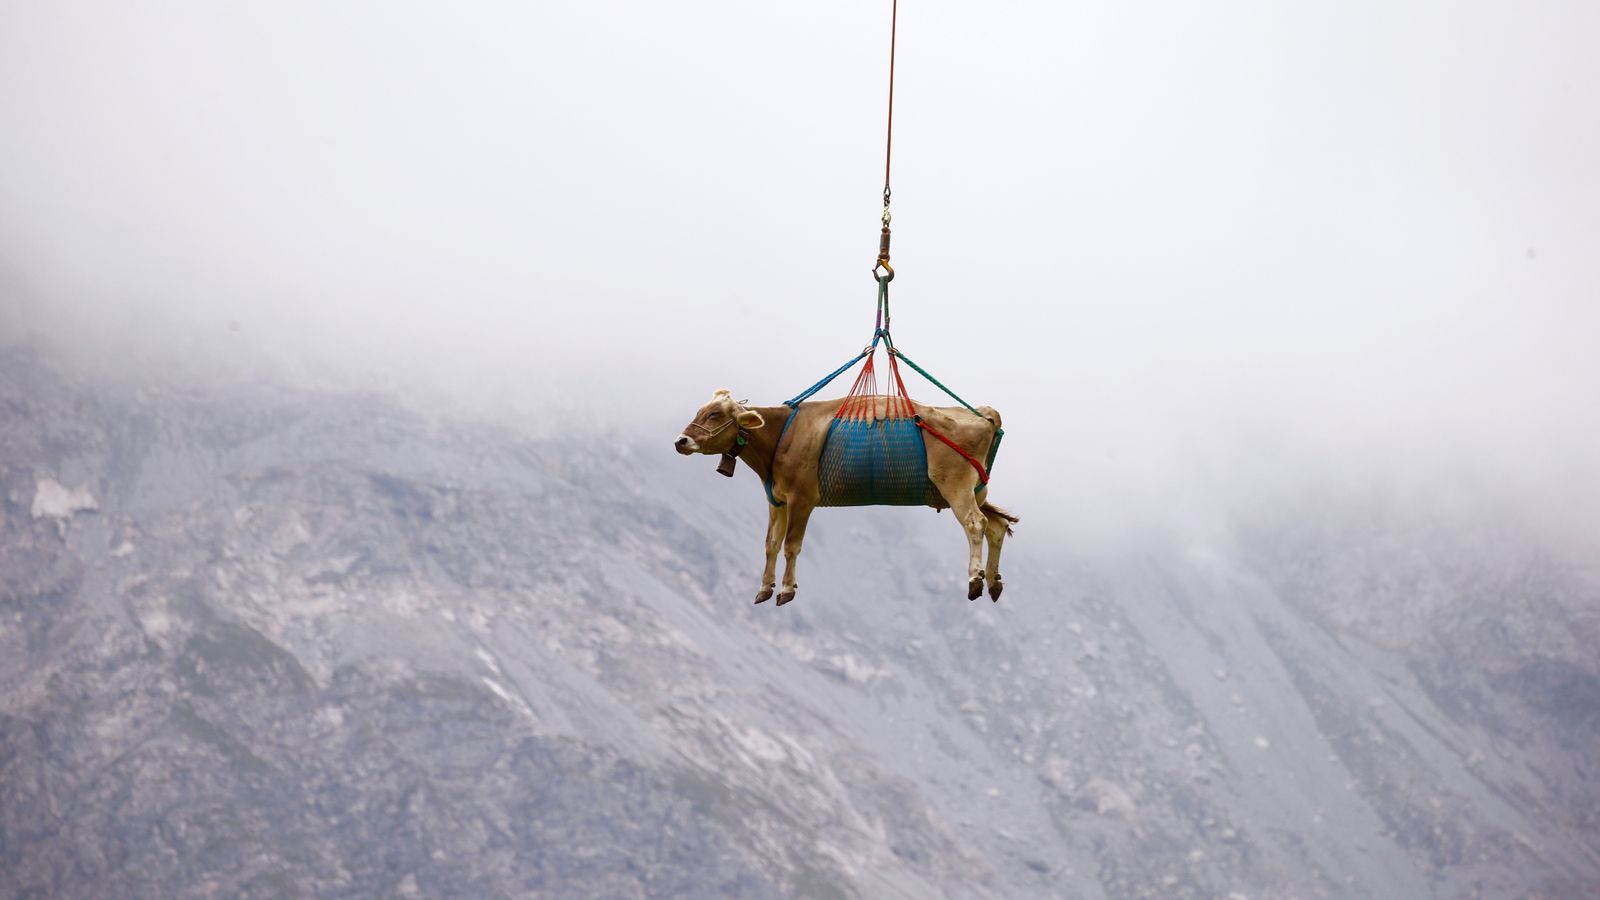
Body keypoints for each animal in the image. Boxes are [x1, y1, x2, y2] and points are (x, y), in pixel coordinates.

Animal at [675, 389, 1017, 606]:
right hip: (974, 490)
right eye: (700, 411)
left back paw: (975, 578)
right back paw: (993, 581)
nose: (681, 440)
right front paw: (764, 587)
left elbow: (791, 546)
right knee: (996, 525)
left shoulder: (802, 498)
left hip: (955, 484)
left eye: (714, 413)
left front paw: (786, 588)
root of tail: (984, 415)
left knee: (975, 523)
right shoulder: (777, 500)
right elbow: (770, 544)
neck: (782, 435)